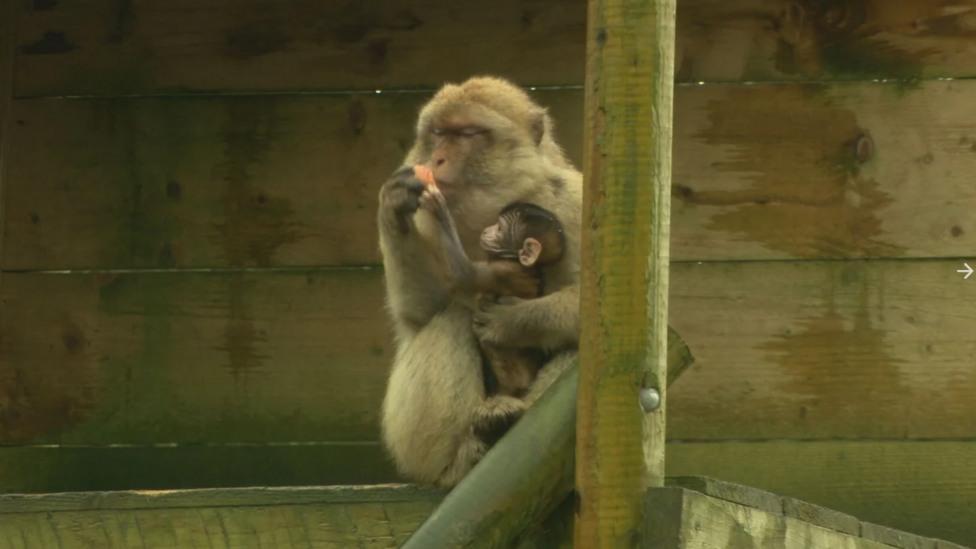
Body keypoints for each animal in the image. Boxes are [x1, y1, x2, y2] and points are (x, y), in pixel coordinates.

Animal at [417, 182, 567, 400]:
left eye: (500, 228)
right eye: (496, 224)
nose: (488, 228)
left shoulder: (506, 270)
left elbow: (464, 275)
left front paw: (439, 210)